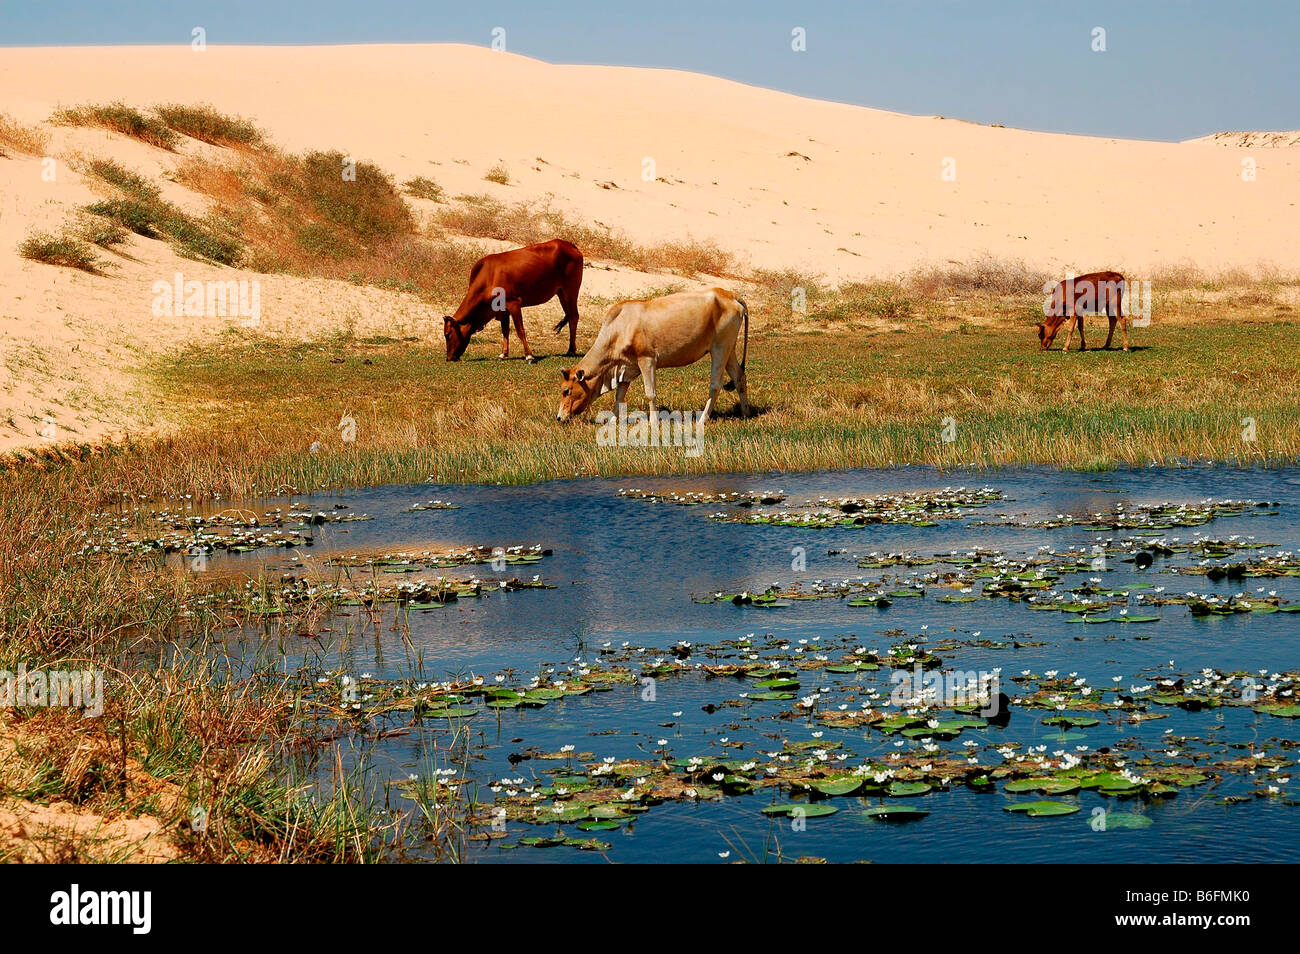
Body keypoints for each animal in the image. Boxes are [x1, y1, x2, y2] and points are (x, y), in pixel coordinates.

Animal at [443, 239, 583, 362]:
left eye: (448, 335)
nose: (449, 358)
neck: (489, 278)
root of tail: (569, 245)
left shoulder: (514, 303)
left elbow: (520, 330)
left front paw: (529, 355)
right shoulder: (502, 309)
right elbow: (505, 331)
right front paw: (503, 354)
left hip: (571, 289)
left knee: (574, 317)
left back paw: (571, 350)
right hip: (561, 293)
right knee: (570, 315)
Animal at [556, 287, 749, 424]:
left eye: (567, 391)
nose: (559, 417)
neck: (620, 326)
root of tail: (731, 295)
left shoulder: (647, 360)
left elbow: (650, 393)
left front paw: (654, 422)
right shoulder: (626, 367)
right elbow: (619, 396)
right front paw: (612, 420)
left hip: (719, 348)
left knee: (715, 385)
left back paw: (702, 419)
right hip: (729, 349)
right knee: (739, 376)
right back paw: (746, 414)